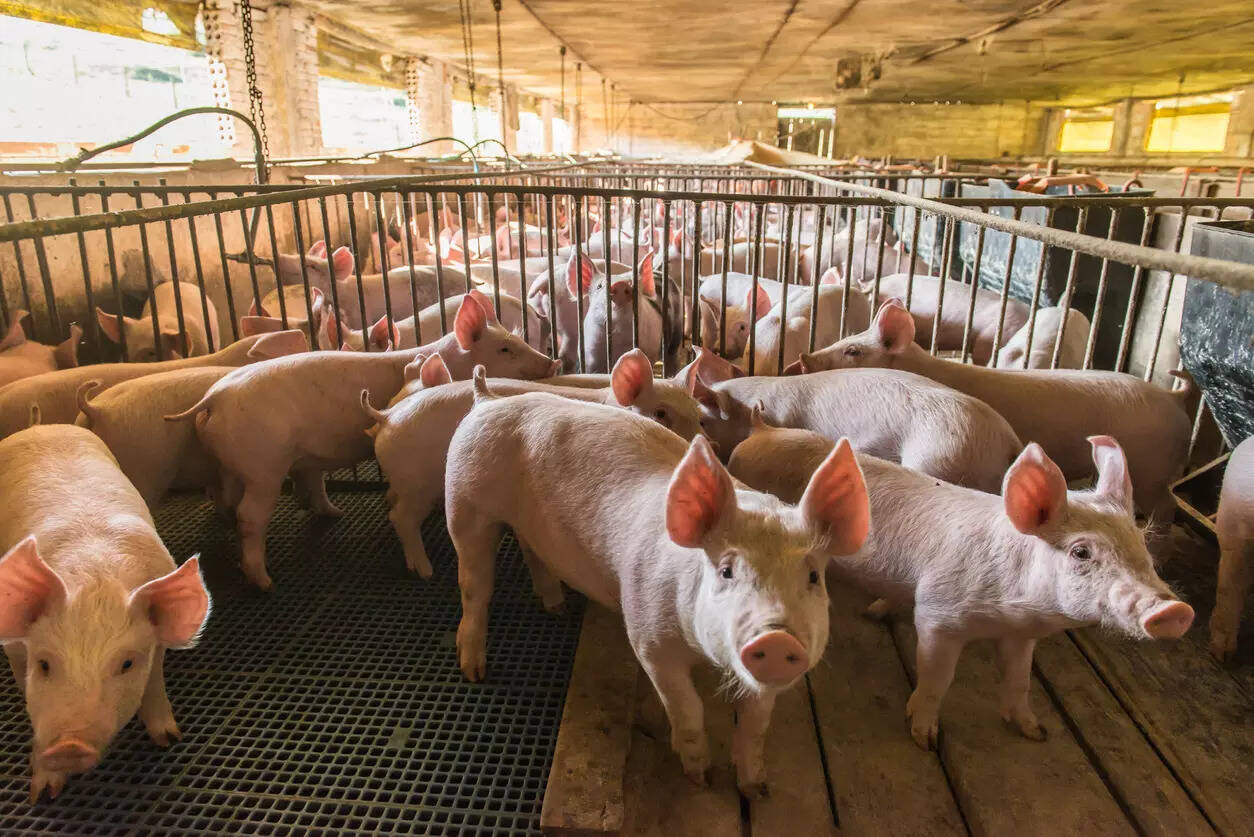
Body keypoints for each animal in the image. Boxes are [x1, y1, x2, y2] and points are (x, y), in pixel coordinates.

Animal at [0, 425, 211, 801]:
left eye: (126, 664)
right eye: (44, 664)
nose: (69, 746)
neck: (94, 579)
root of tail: (40, 425)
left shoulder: (156, 645)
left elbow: (154, 681)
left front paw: (169, 740)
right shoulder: (15, 650)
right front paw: (43, 795)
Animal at [165, 294, 558, 590]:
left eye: (519, 340)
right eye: (505, 349)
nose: (552, 362)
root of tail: (213, 397)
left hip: (230, 462)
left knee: (228, 497)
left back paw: (330, 514)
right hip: (263, 463)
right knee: (250, 515)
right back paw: (264, 582)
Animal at [368, 349, 709, 577]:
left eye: (698, 414)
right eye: (661, 413)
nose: (710, 449)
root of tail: (387, 417)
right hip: (417, 483)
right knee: (401, 517)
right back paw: (425, 570)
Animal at [445, 378, 869, 793]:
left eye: (813, 576)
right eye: (726, 571)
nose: (777, 638)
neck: (704, 656)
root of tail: (487, 399)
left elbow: (755, 724)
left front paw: (756, 787)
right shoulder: (649, 639)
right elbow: (688, 708)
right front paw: (700, 777)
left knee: (532, 551)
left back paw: (556, 607)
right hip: (464, 503)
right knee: (474, 584)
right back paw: (474, 671)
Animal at [729, 420, 1193, 749]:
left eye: (1141, 544)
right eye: (1082, 552)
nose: (1174, 609)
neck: (1013, 610)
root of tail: (761, 432)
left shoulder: (1021, 635)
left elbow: (1019, 679)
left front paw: (1036, 731)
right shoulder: (939, 615)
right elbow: (938, 678)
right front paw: (925, 738)